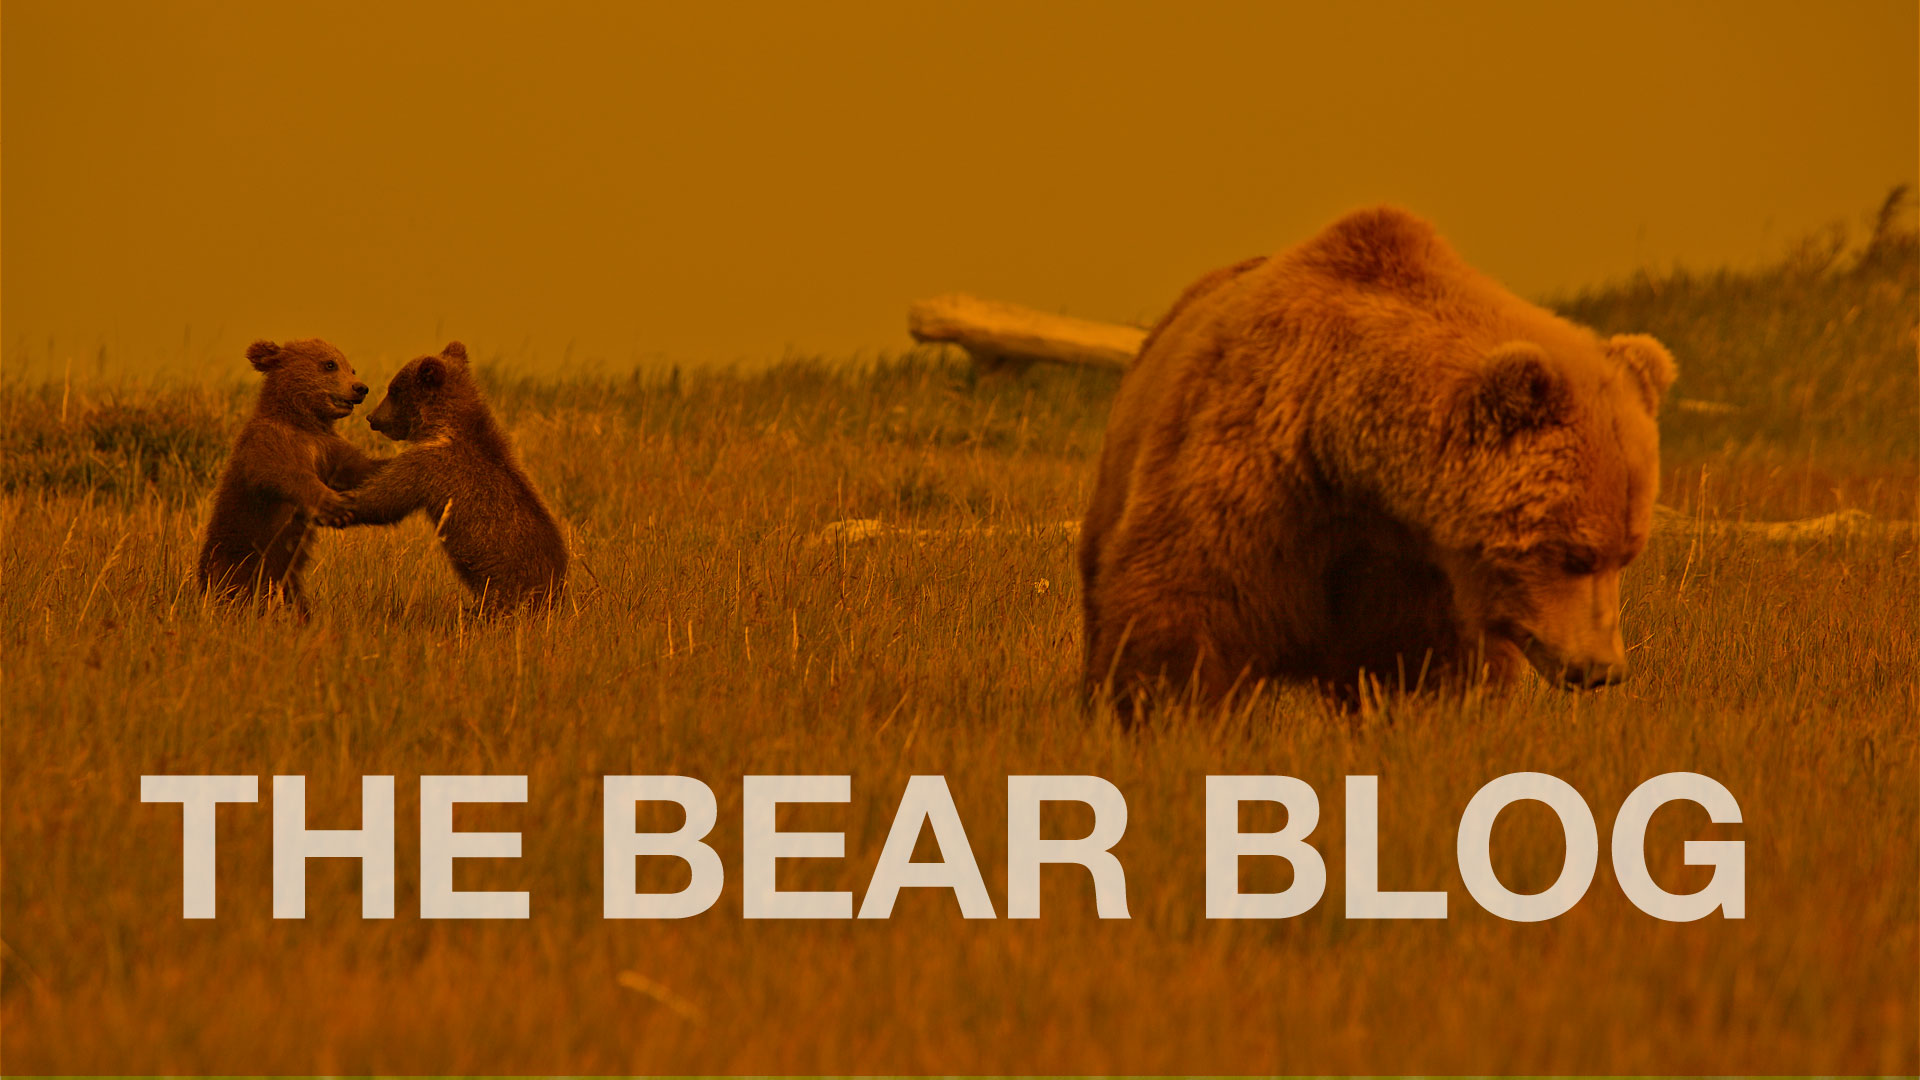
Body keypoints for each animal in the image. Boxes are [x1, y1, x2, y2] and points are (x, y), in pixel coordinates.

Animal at [197, 338, 387, 615]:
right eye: (330, 364)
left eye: (351, 368)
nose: (360, 387)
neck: (301, 421)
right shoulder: (269, 444)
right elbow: (282, 474)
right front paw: (333, 506)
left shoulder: (328, 450)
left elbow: (362, 469)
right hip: (236, 561)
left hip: (286, 581)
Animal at [316, 341, 567, 611]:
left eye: (393, 390)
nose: (371, 417)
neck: (440, 425)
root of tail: (557, 591)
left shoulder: (429, 467)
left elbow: (383, 500)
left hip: (507, 588)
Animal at [1079, 207, 1677, 714]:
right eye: (1576, 554)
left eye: (1627, 553)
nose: (1601, 670)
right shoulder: (1254, 478)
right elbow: (1187, 614)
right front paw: (1171, 711)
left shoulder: (1417, 571)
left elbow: (1423, 669)